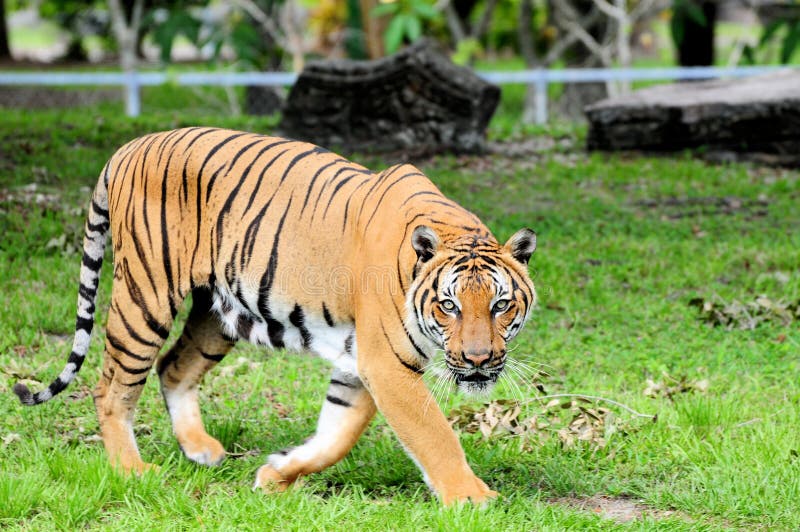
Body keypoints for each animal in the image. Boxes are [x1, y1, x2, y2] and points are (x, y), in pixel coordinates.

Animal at [13, 127, 537, 505]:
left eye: (500, 305)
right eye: (449, 306)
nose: (478, 360)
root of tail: (127, 148)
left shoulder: (358, 363)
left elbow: (336, 436)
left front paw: (275, 475)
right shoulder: (386, 364)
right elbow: (434, 434)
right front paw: (473, 499)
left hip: (217, 313)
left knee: (174, 367)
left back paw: (200, 449)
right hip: (145, 298)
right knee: (112, 387)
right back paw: (132, 470)